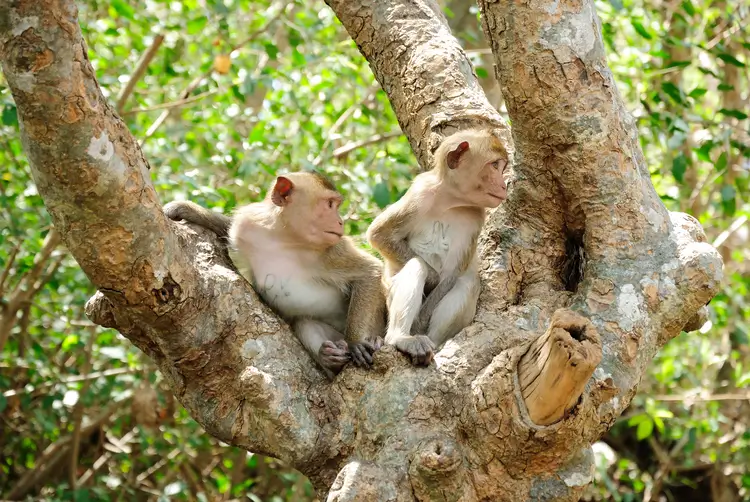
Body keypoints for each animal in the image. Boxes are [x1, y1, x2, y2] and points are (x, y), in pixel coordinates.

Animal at [163, 172, 386, 379]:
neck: (285, 239)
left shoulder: (331, 251)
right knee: (305, 323)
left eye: (336, 204)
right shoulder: (248, 224)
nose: (340, 222)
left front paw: (355, 342)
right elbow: (227, 227)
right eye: (330, 204)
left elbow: (370, 271)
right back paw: (331, 359)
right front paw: (186, 209)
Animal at [366, 128, 509, 366]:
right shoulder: (420, 194)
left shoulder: (475, 218)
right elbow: (379, 234)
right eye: (494, 165)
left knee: (468, 282)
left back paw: (431, 340)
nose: (504, 184)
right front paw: (431, 278)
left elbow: (452, 274)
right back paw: (400, 337)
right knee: (417, 265)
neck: (449, 202)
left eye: (502, 166)